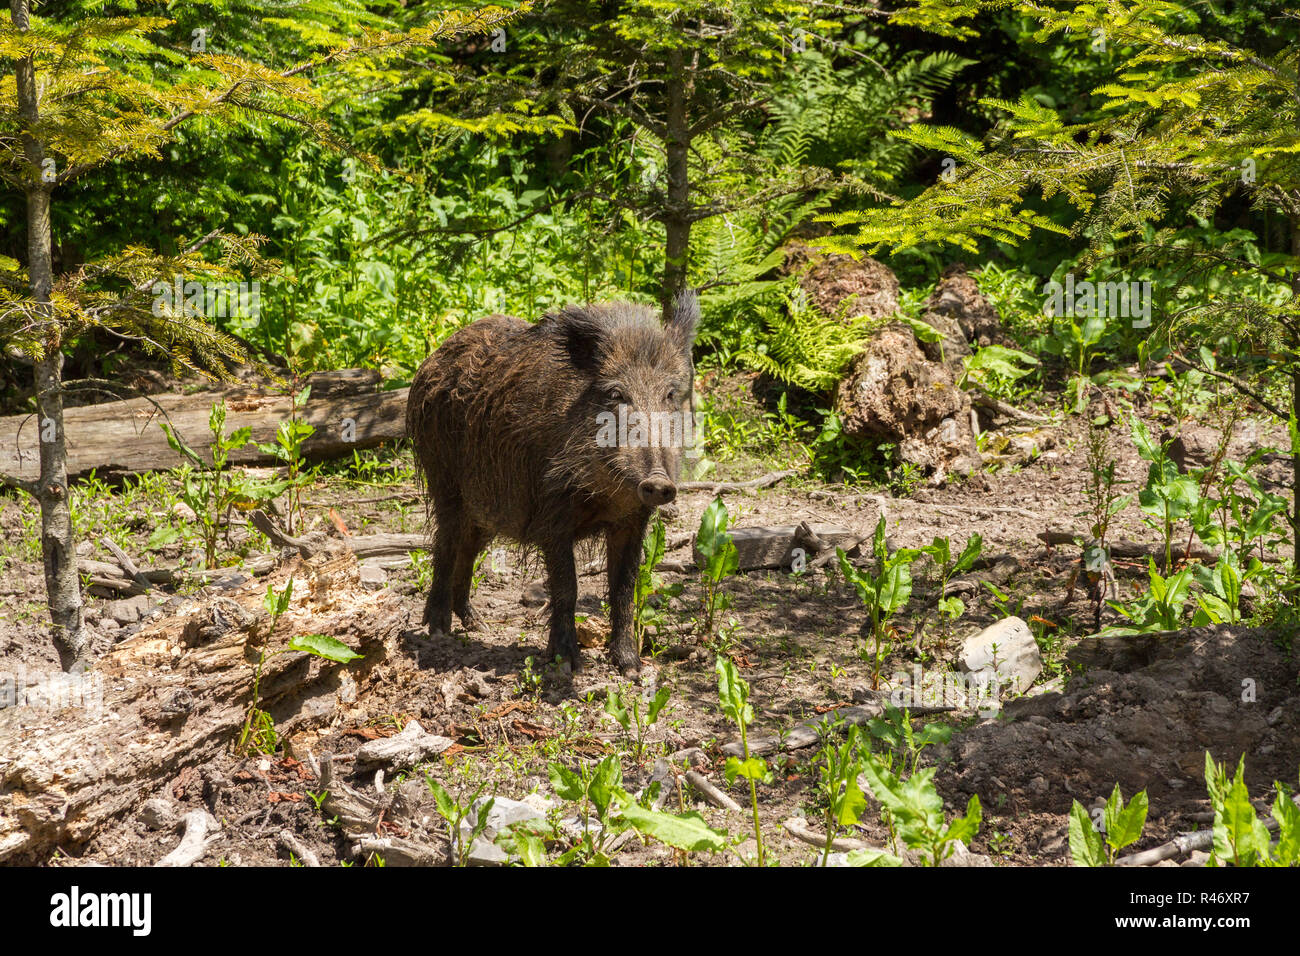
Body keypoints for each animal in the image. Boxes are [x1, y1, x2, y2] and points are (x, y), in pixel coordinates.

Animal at [406, 290, 699, 675]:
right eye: (616, 394)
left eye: (670, 394)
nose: (659, 483)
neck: (608, 496)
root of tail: (431, 361)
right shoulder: (552, 515)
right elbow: (566, 587)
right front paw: (567, 663)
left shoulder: (633, 520)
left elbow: (623, 588)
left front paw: (631, 667)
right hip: (444, 478)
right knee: (445, 544)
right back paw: (439, 630)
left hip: (487, 506)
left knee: (468, 547)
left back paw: (476, 624)